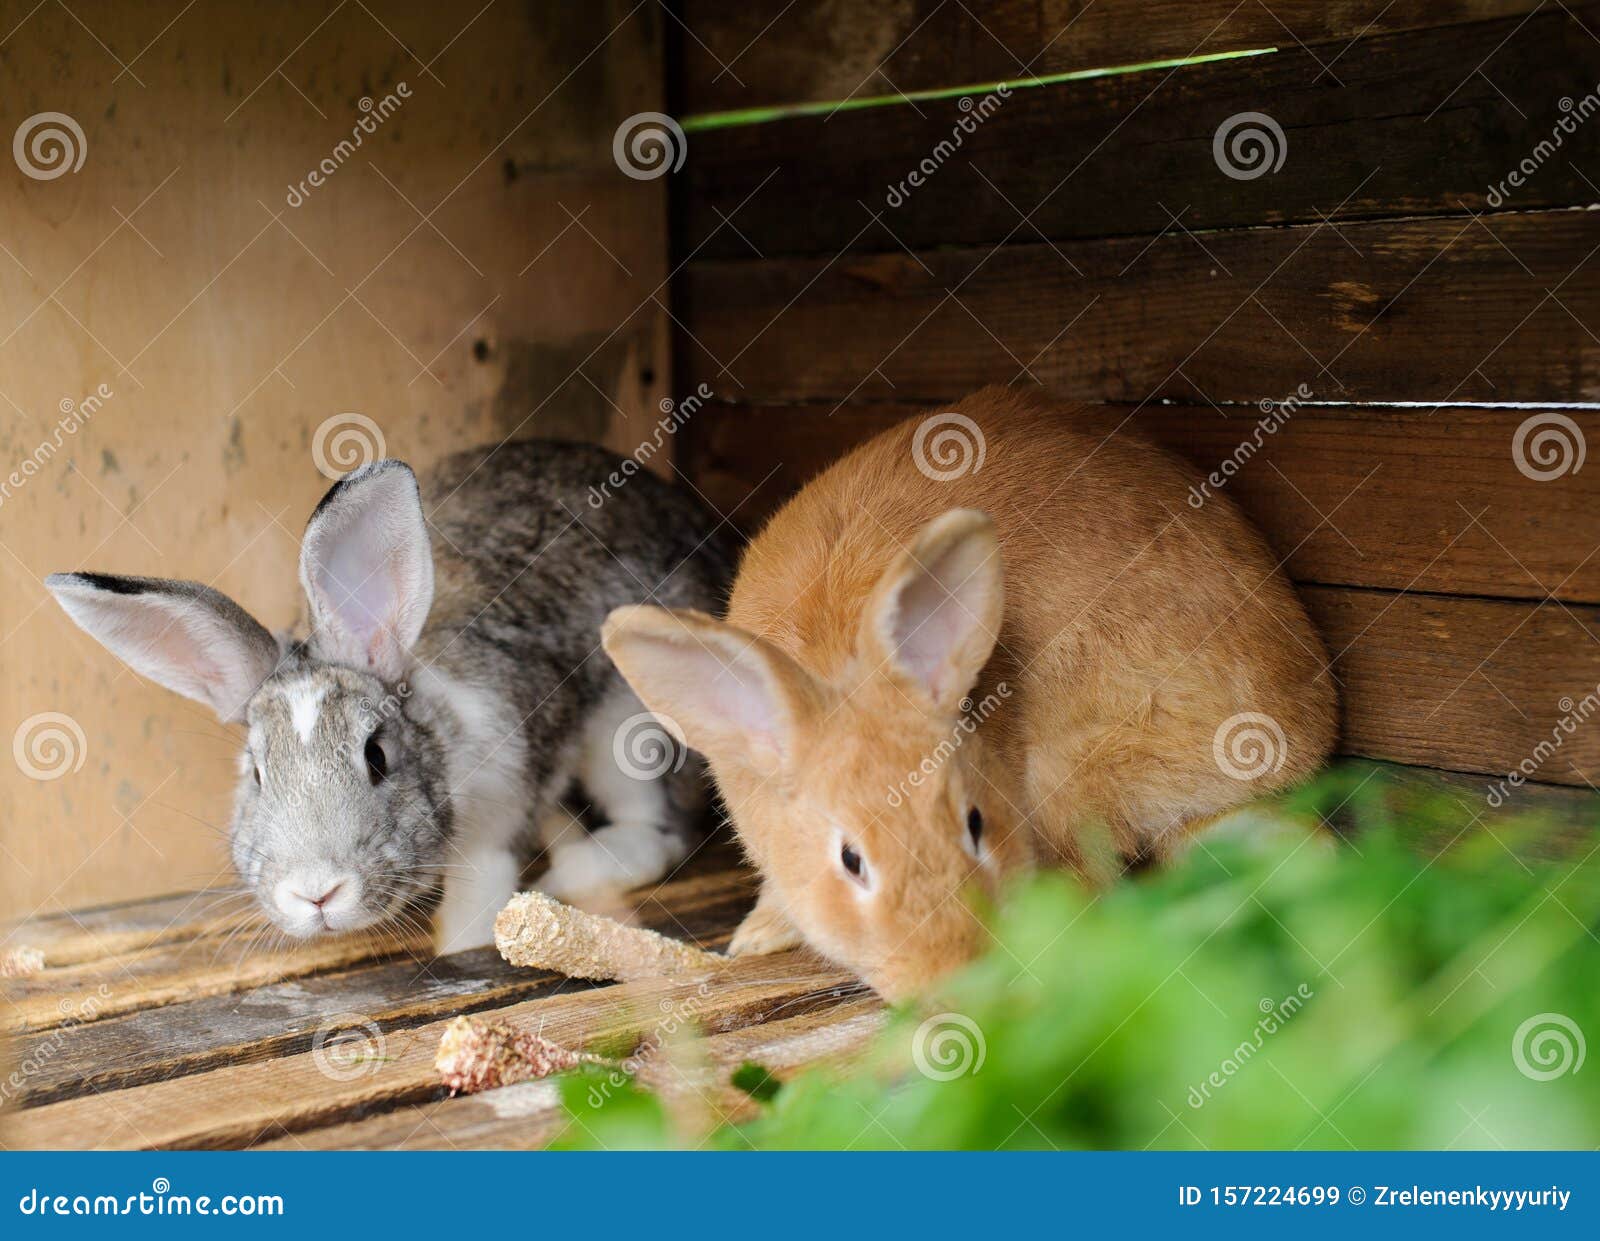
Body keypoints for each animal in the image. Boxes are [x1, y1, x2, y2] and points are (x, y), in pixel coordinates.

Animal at [47, 440, 735, 953]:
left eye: (376, 756)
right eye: (257, 774)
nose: (317, 893)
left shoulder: (493, 826)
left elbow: (476, 905)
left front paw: (464, 944)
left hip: (627, 729)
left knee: (660, 830)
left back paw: (580, 869)